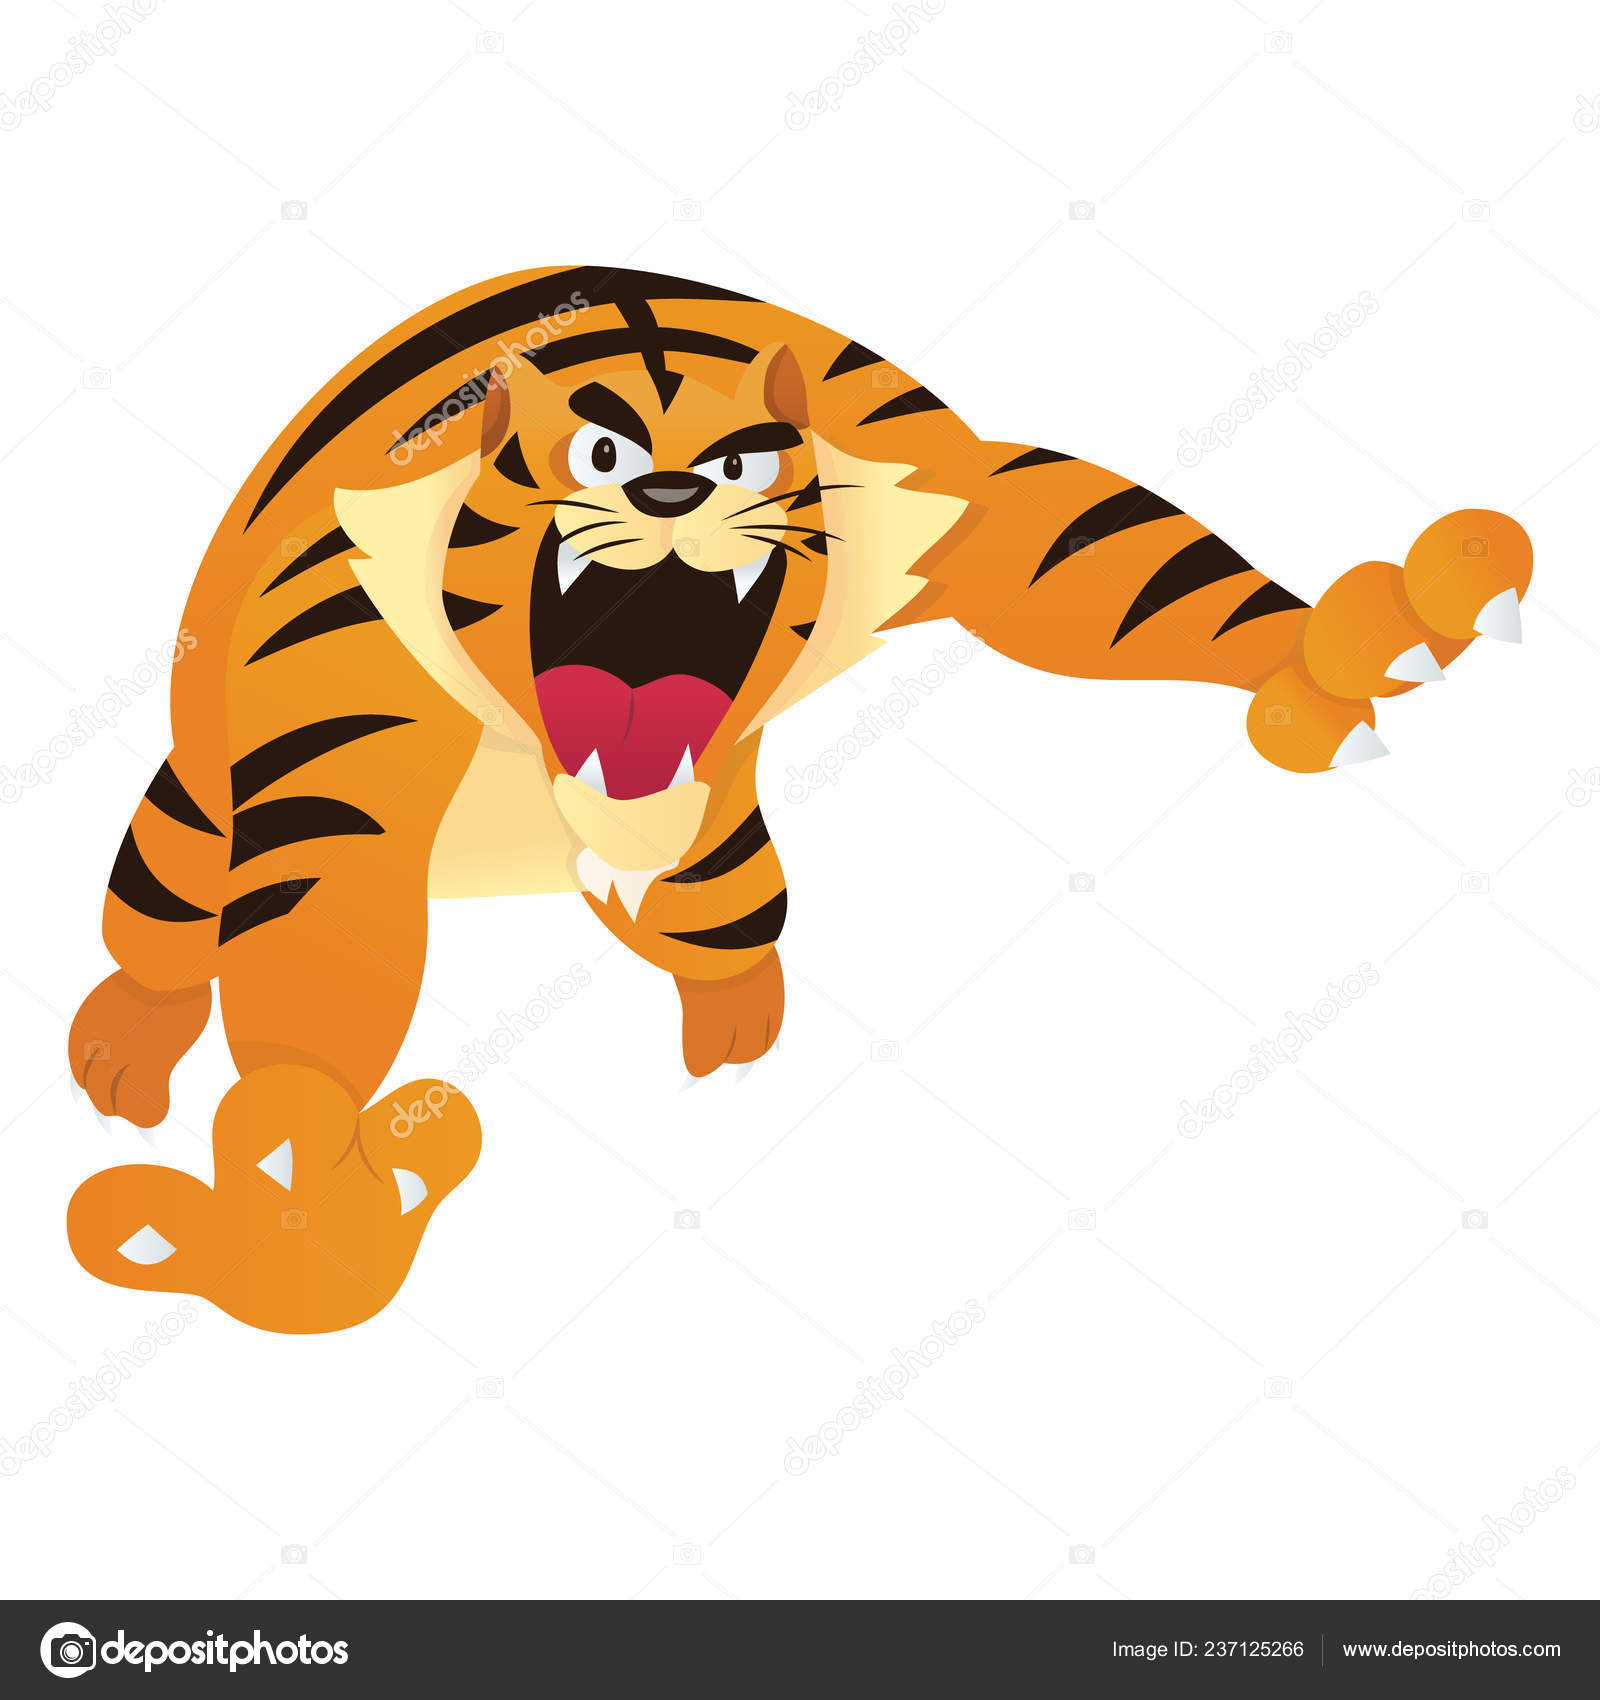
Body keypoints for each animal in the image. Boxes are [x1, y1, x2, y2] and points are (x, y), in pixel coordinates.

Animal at [65, 265, 1533, 1334]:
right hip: (192, 811)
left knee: (718, 925)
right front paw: (298, 1209)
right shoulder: (340, 743)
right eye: (600, 456)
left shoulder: (945, 493)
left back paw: (730, 1032)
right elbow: (315, 946)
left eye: (736, 467)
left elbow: (1117, 565)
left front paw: (1352, 644)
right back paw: (123, 1047)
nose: (666, 491)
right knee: (165, 918)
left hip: (713, 863)